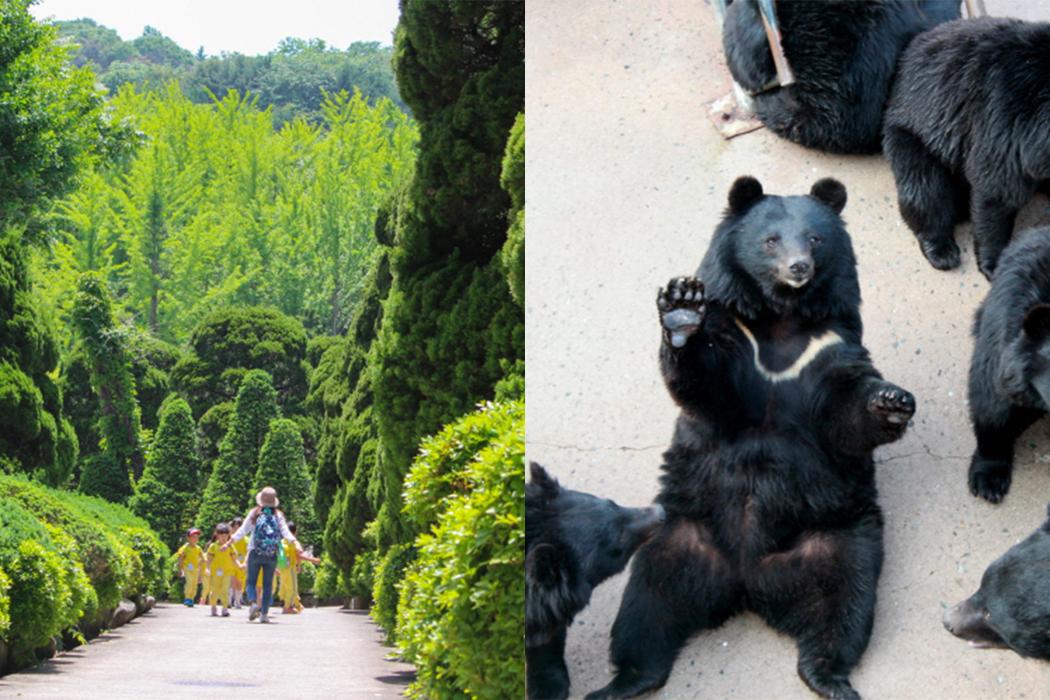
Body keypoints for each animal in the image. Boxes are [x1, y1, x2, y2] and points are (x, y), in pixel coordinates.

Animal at [586, 176, 917, 700]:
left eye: (815, 239)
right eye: (771, 241)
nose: (799, 267)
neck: (781, 318)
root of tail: (746, 582)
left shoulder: (829, 345)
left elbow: (844, 409)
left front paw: (891, 400)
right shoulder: (736, 336)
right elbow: (709, 386)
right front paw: (682, 308)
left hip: (838, 534)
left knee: (846, 604)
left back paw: (829, 676)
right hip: (680, 531)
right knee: (647, 607)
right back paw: (623, 681)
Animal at [883, 17, 1050, 278]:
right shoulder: (1009, 121)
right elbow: (997, 191)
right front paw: (993, 263)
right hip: (912, 135)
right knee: (924, 187)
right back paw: (941, 249)